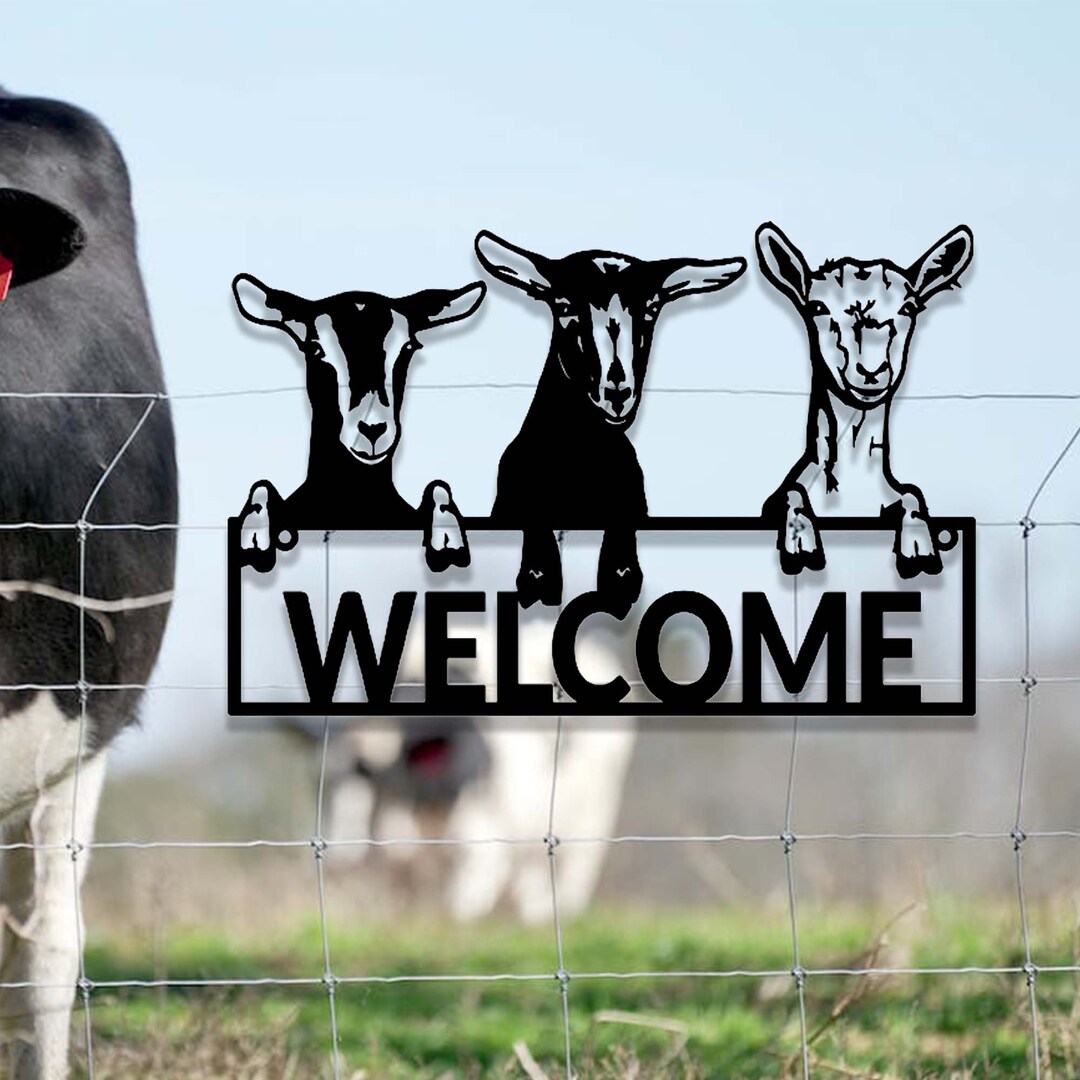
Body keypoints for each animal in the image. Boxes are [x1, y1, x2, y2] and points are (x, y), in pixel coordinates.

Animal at [231, 275, 484, 569]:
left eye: (408, 347)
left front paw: (447, 542)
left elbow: (438, 488)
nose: (372, 430)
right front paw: (254, 542)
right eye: (315, 349)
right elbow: (261, 487)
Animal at [755, 222, 973, 576]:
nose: (871, 371)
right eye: (817, 307)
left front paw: (919, 549)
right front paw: (801, 543)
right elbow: (792, 492)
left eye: (909, 307)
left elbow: (911, 496)